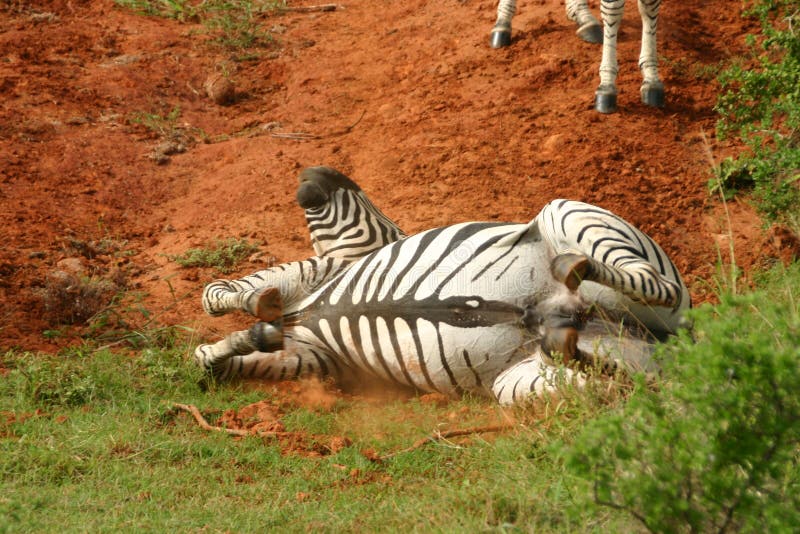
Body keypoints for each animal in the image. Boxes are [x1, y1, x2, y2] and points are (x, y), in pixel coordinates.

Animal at [194, 168, 689, 405]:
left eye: (387, 222)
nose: (318, 170)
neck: (307, 308)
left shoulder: (333, 265)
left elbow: (215, 294)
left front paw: (254, 304)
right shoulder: (317, 356)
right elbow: (206, 352)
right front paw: (253, 327)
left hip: (566, 211)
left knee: (656, 284)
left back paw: (571, 269)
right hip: (517, 383)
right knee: (626, 382)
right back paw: (563, 337)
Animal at [490, 0, 663, 113]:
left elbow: (650, 7)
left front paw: (651, 78)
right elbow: (613, 10)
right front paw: (607, 85)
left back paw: (583, 18)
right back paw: (502, 24)